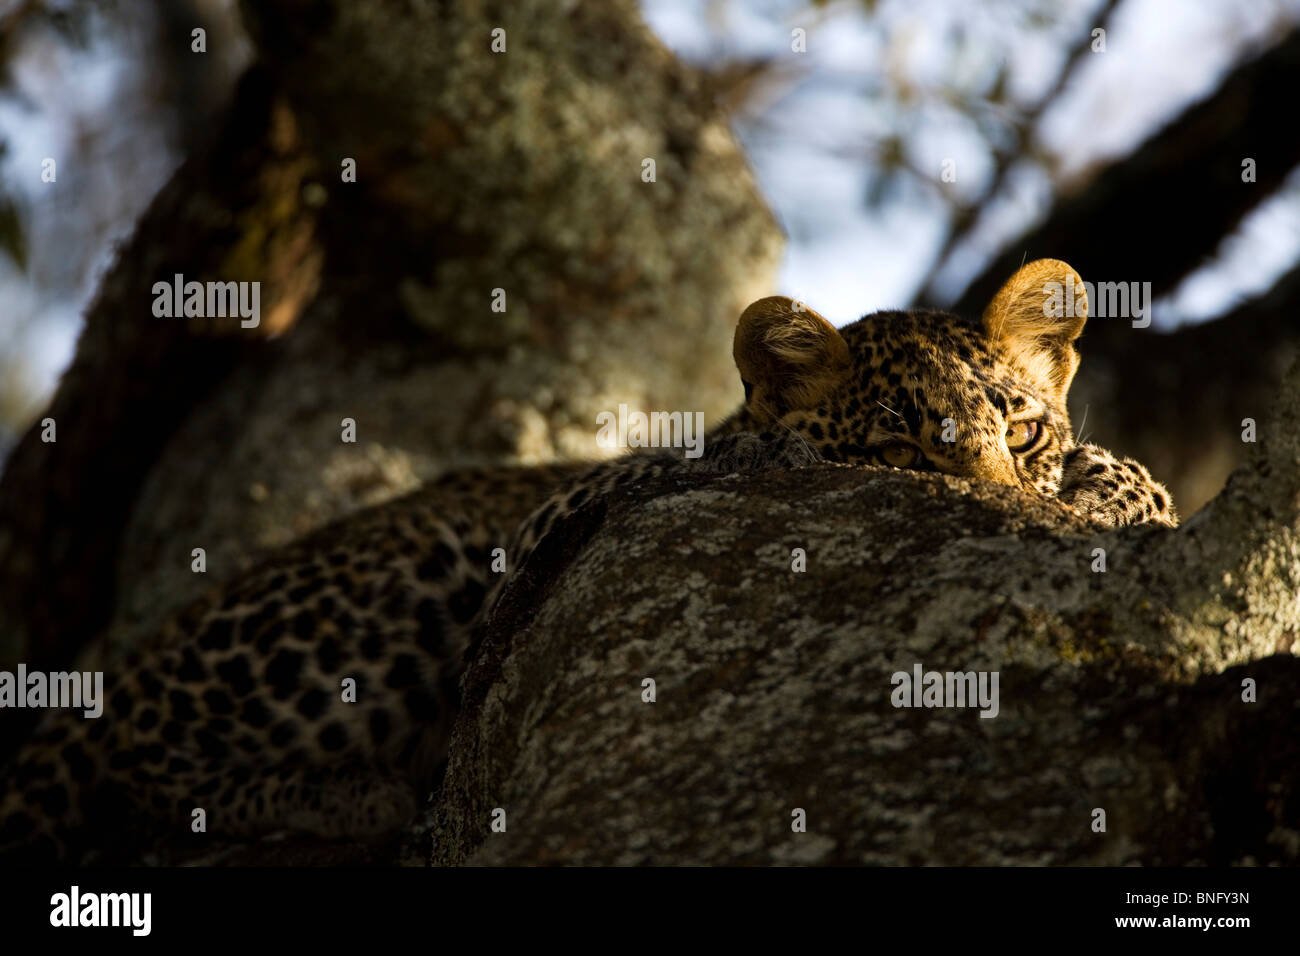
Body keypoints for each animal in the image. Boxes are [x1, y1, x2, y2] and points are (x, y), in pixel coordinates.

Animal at [0, 259, 1176, 863]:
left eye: (1018, 427)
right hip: (408, 579)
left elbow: (1135, 482)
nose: (996, 494)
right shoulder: (559, 516)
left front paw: (1106, 487)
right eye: (893, 447)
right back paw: (359, 795)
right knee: (141, 759)